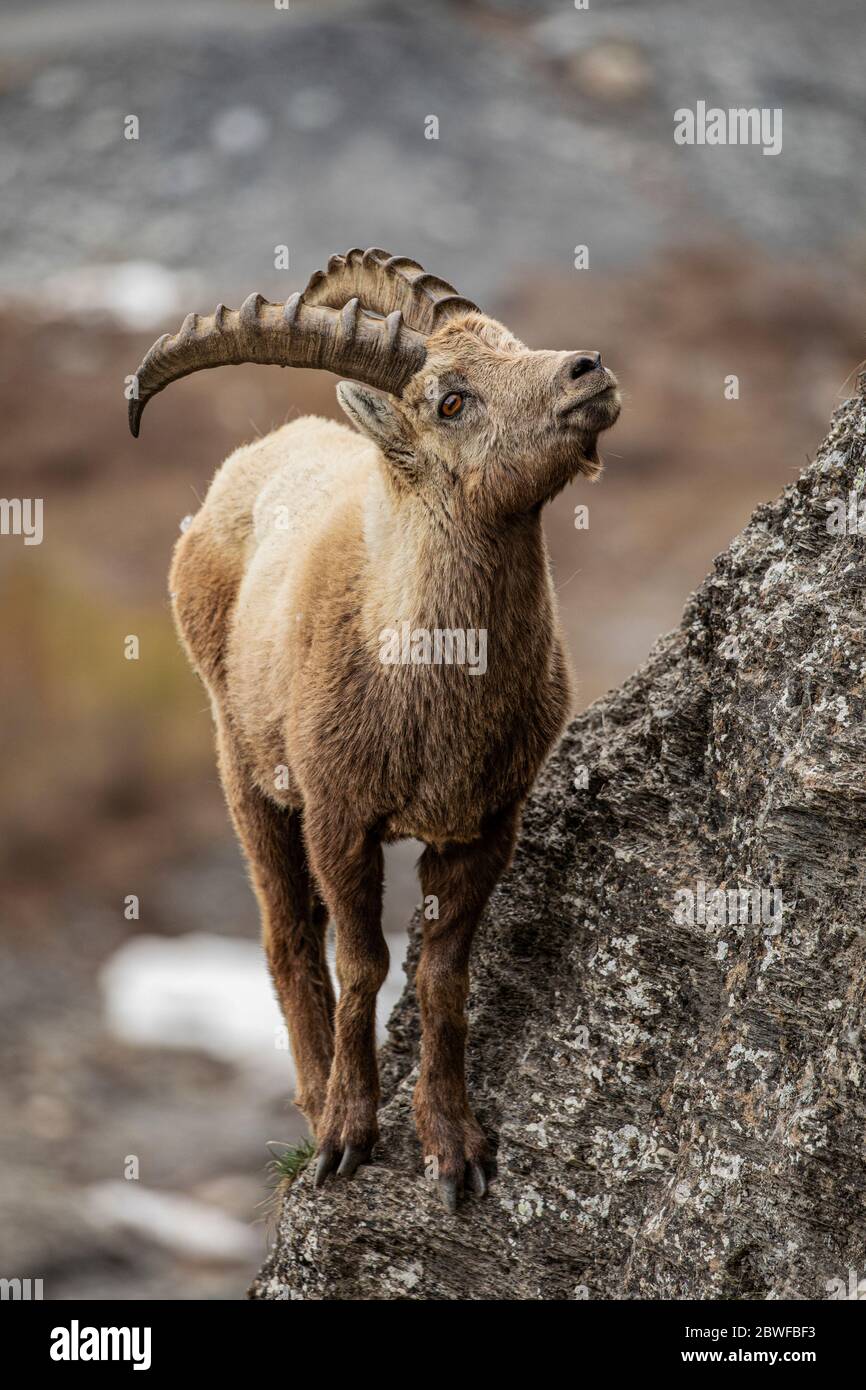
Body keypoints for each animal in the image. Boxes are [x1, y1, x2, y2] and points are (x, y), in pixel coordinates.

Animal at [128, 248, 620, 1211]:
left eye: (513, 342)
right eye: (451, 400)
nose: (589, 370)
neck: (428, 678)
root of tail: (257, 453)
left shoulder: (483, 825)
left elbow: (443, 975)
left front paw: (455, 1149)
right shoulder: (340, 814)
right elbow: (361, 965)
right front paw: (347, 1136)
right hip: (244, 768)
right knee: (288, 939)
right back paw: (315, 1098)